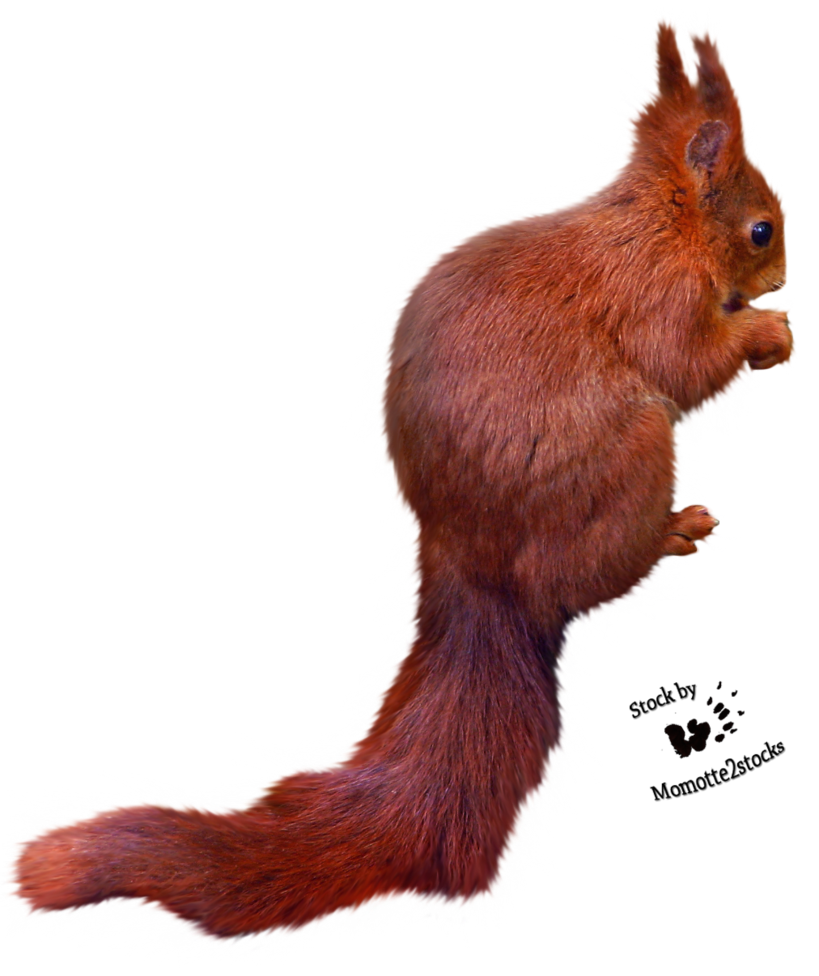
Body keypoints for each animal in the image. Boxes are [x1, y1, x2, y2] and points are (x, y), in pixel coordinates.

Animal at [4, 17, 795, 944]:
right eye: (761, 230)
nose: (778, 276)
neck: (661, 223)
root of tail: (479, 574)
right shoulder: (656, 299)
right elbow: (689, 365)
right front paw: (770, 334)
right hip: (636, 454)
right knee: (596, 580)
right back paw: (678, 532)